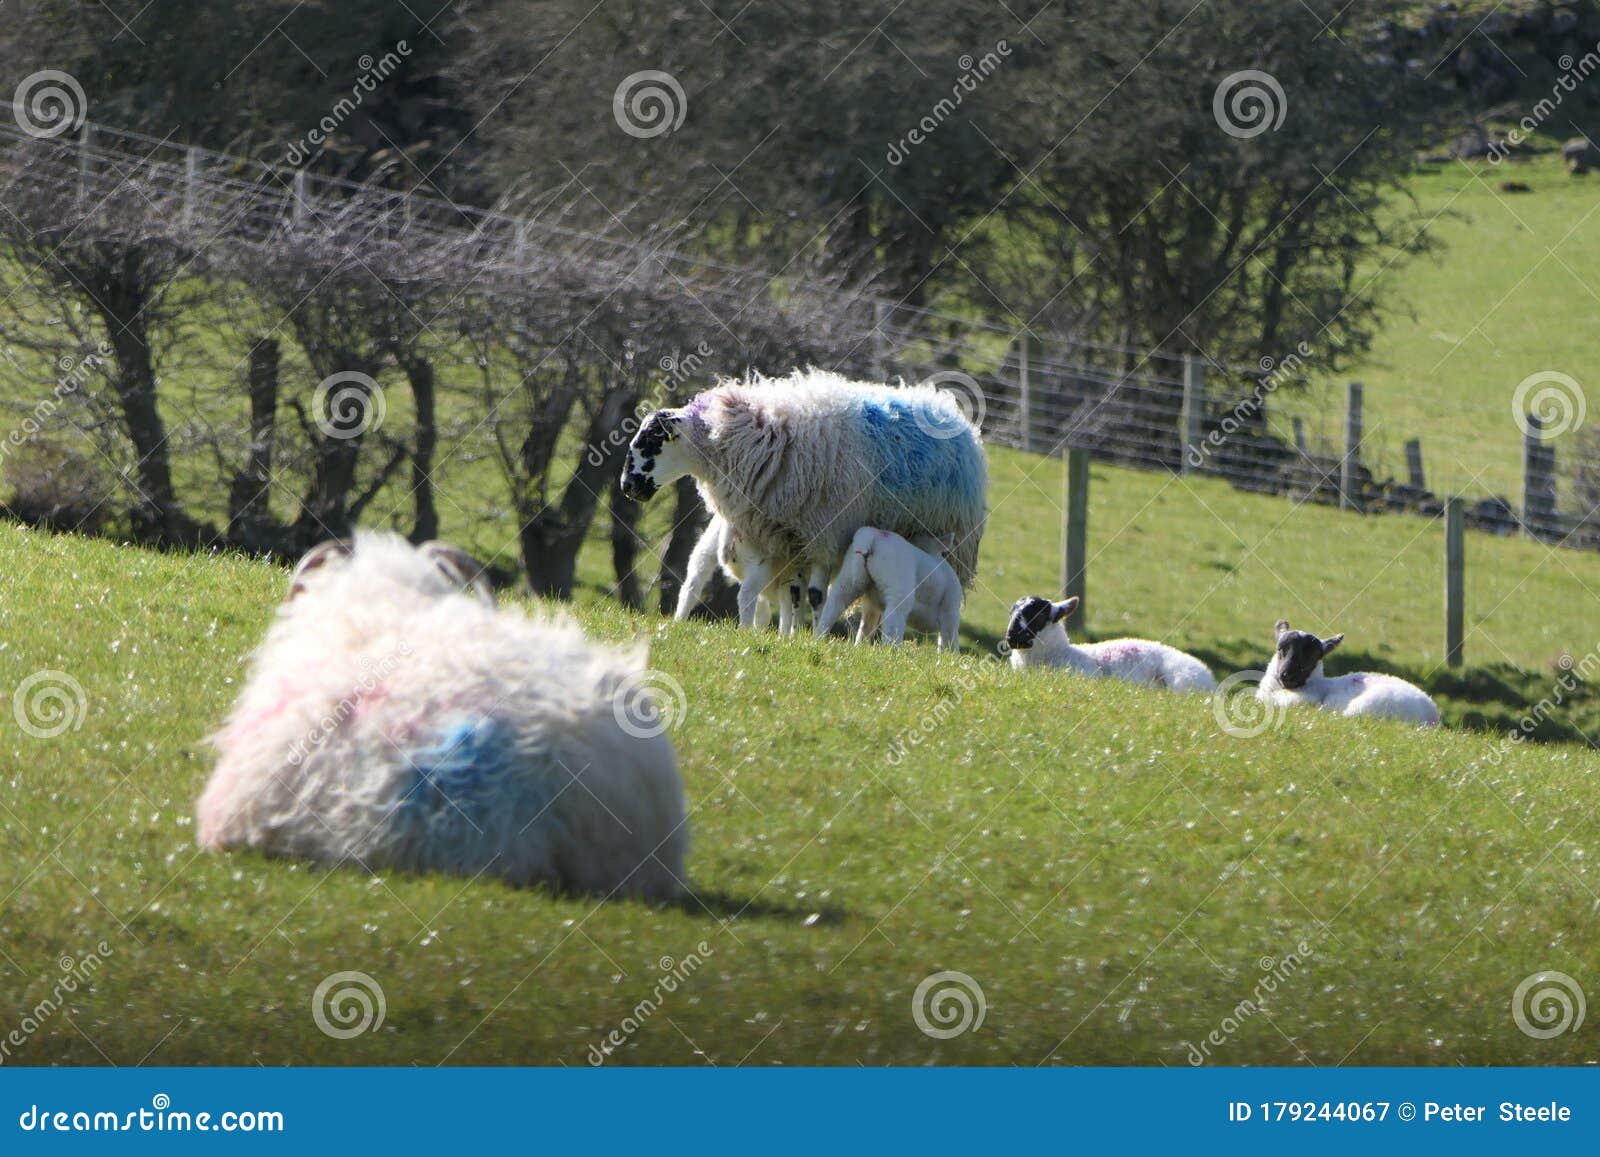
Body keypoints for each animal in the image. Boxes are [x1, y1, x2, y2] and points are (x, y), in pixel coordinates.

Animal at [621, 369, 988, 609]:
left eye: (650, 441)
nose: (627, 486)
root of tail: (952, 413)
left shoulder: (827, 530)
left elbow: (814, 595)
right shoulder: (787, 538)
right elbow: (792, 593)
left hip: (952, 540)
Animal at [813, 526, 962, 651]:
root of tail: (873, 537)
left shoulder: (871, 604)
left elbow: (867, 624)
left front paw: (860, 646)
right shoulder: (950, 610)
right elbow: (949, 639)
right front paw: (949, 658)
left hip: (851, 576)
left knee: (835, 603)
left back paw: (820, 638)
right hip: (898, 588)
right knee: (892, 622)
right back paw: (892, 653)